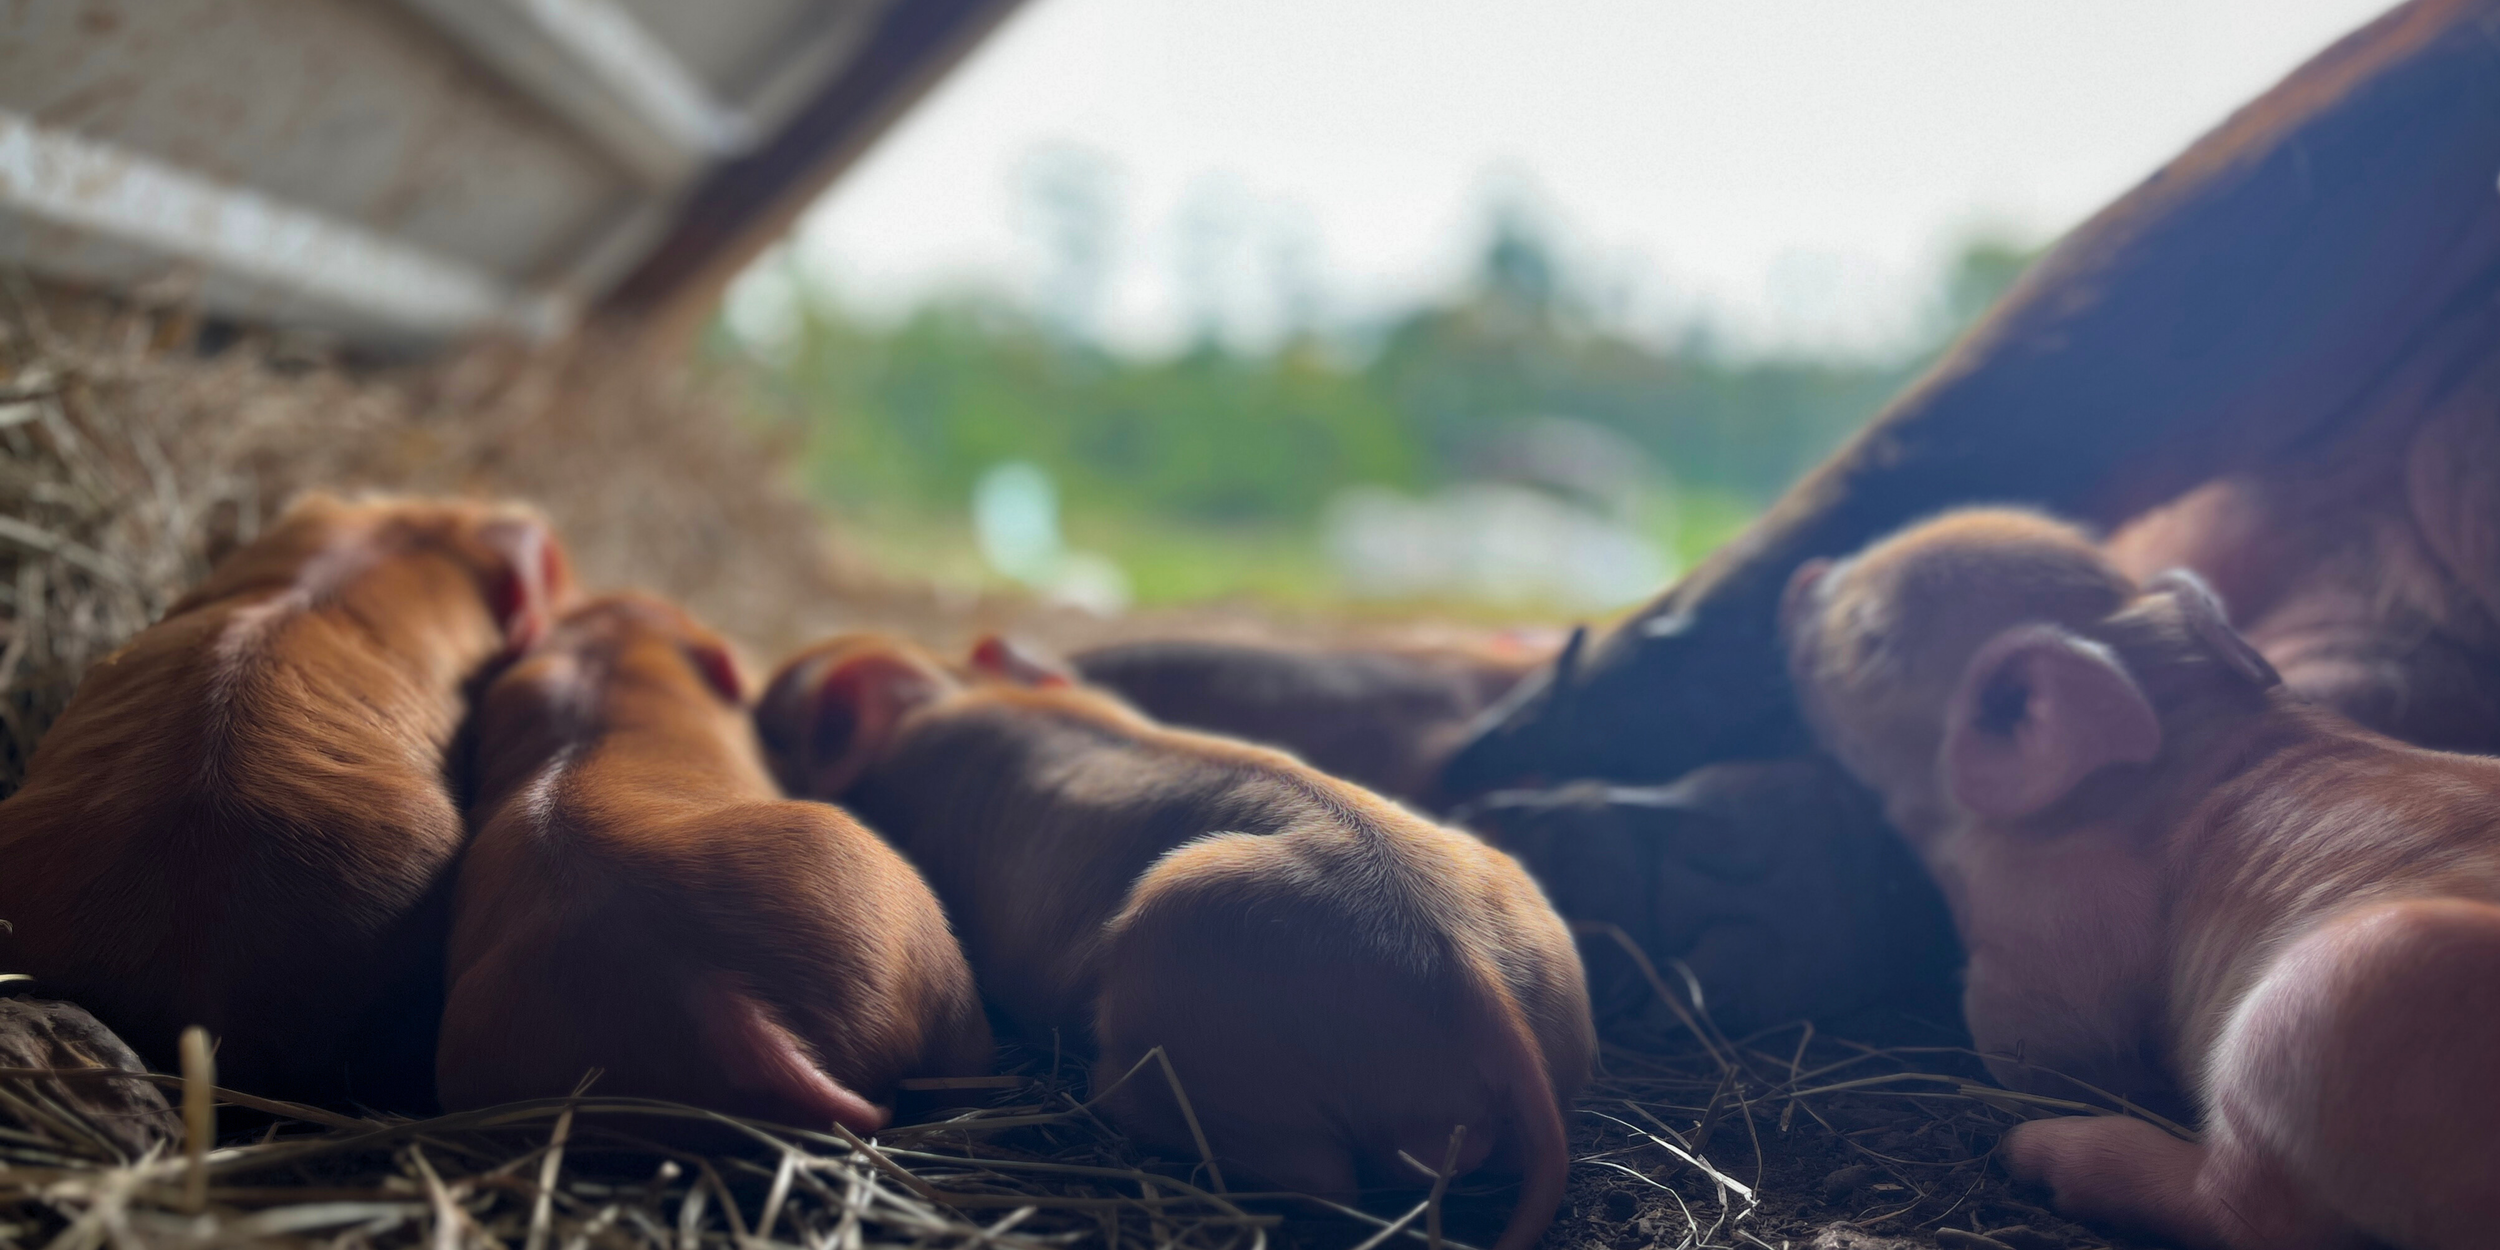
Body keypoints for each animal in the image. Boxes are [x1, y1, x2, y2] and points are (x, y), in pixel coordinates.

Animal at [1783, 507, 2500, 1250]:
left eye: (1870, 638)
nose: (1802, 575)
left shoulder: (2054, 949)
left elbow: (2037, 1046)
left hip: (2338, 995)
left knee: (2246, 1212)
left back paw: (2032, 1154)